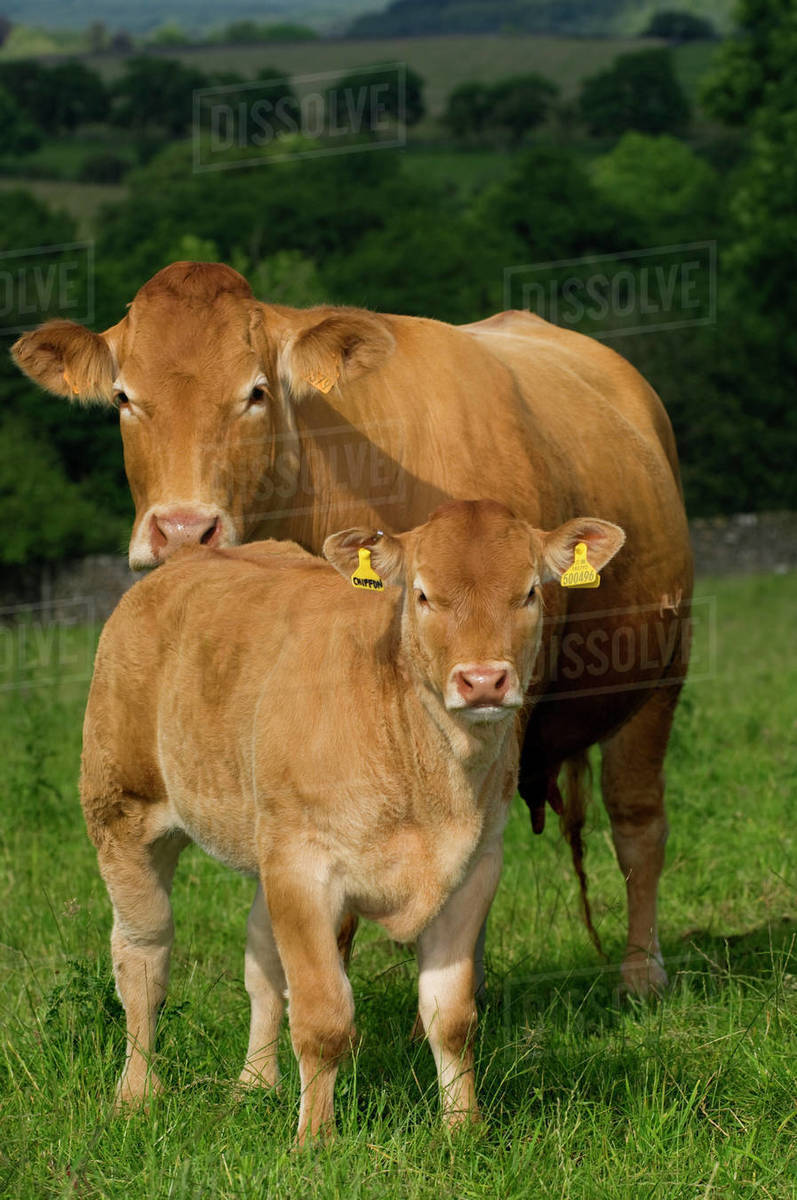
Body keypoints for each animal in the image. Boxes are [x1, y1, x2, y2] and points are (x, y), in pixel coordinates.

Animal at [13, 260, 693, 996]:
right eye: (123, 398)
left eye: (255, 392)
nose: (184, 530)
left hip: (659, 678)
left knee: (638, 824)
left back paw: (641, 972)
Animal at [80, 500, 626, 1142]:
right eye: (422, 594)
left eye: (529, 594)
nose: (483, 680)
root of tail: (188, 560)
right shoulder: (303, 869)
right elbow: (323, 1018)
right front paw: (315, 1140)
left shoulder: (473, 868)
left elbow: (451, 1015)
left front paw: (463, 1129)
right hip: (123, 812)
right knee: (143, 957)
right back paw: (137, 1094)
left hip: (263, 840)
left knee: (261, 958)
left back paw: (255, 1084)